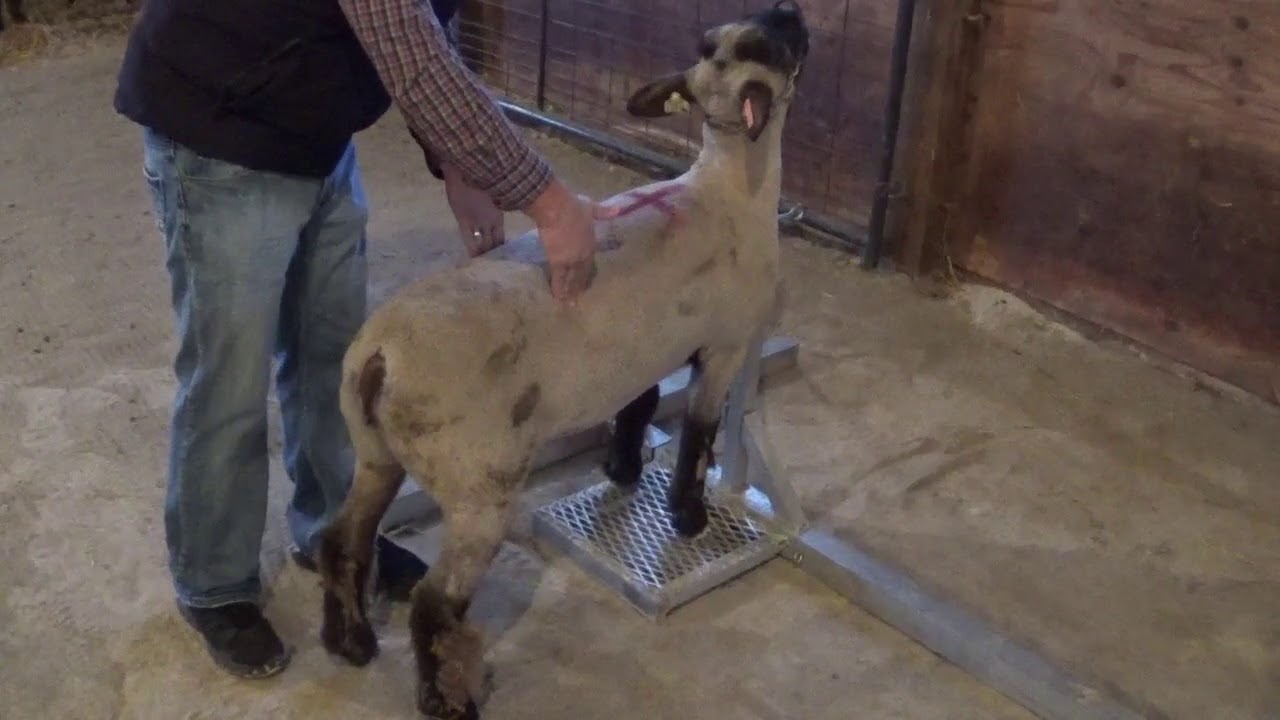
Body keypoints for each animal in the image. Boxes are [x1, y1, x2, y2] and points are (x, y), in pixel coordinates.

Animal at [315, 3, 810, 717]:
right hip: (479, 481)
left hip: (375, 451)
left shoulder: (643, 346)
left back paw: (347, 641)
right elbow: (698, 434)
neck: (728, 189)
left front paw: (624, 469)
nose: (793, 13)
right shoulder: (723, 345)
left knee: (341, 540)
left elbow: (640, 405)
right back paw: (445, 699)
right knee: (435, 603)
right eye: (764, 45)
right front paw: (688, 517)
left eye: (736, 37)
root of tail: (380, 356)